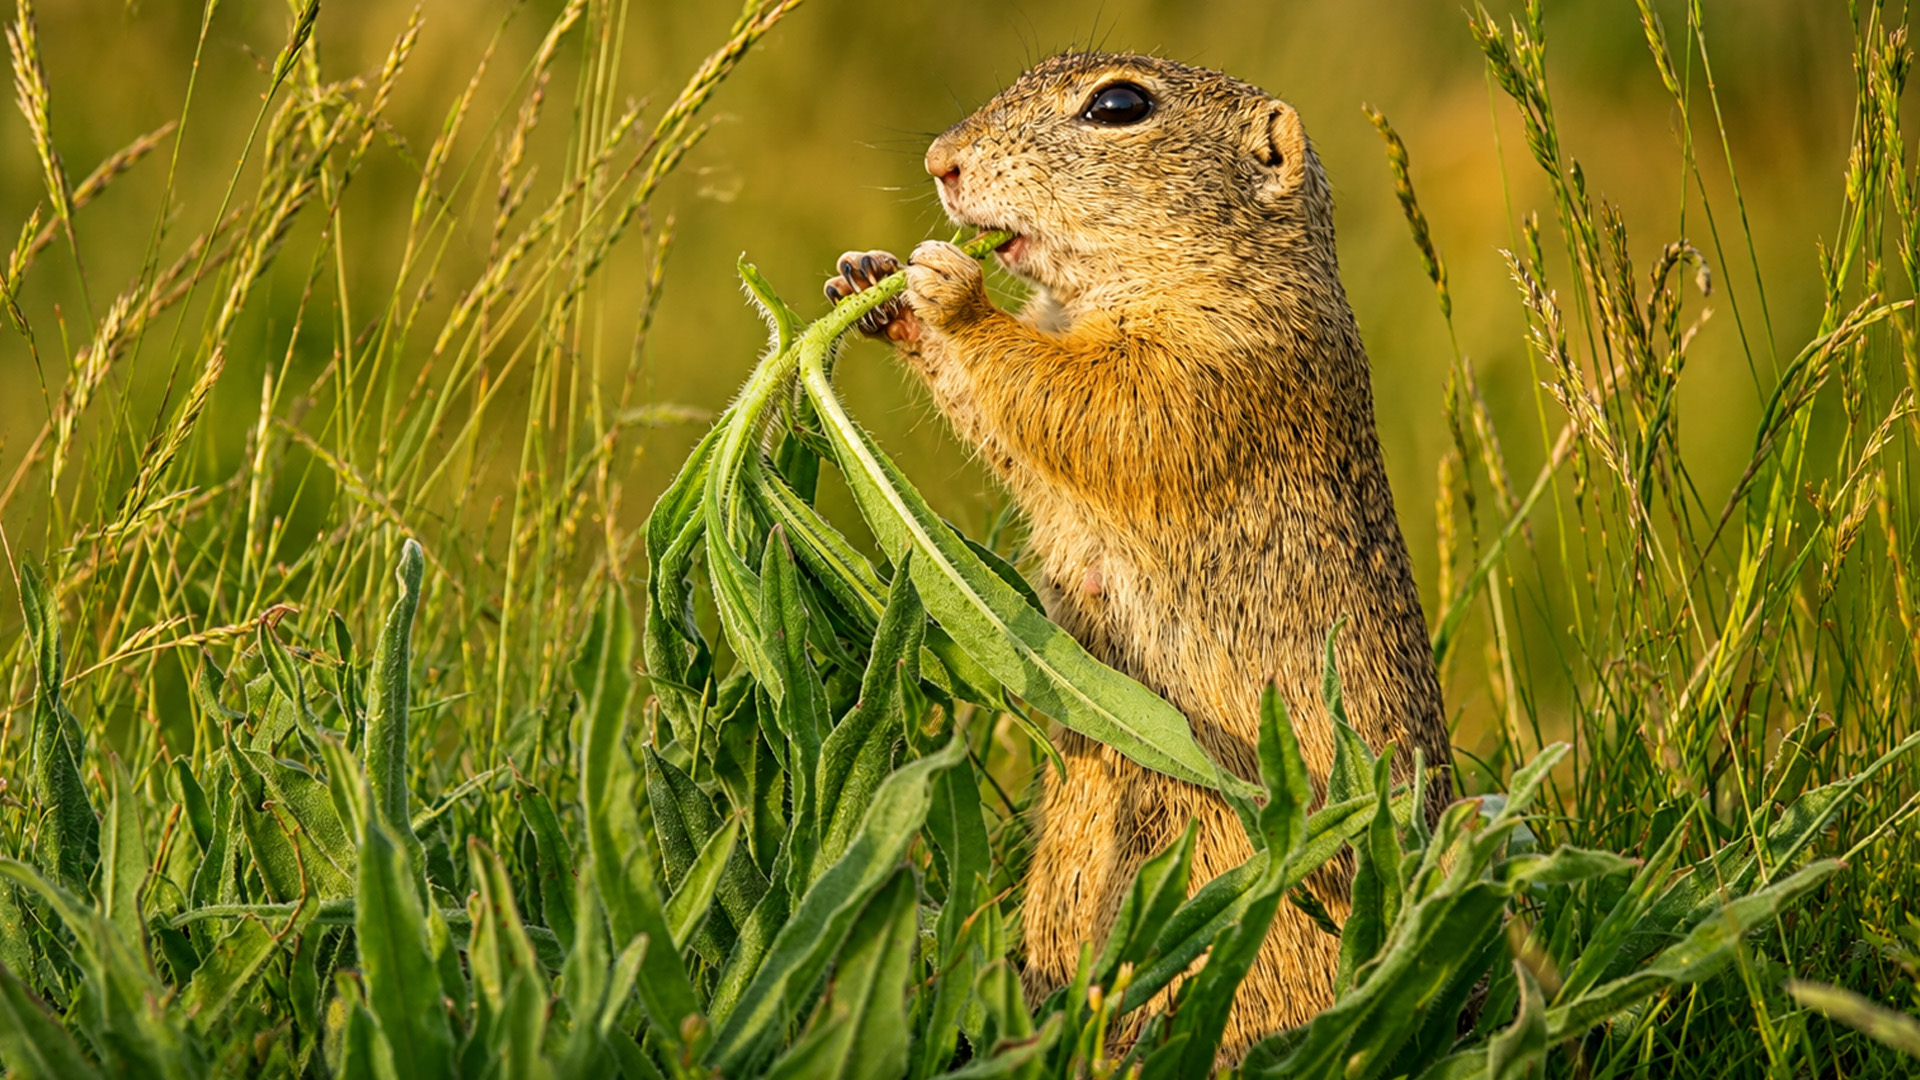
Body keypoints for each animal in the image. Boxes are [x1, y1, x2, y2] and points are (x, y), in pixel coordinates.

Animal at [825, 51, 1453, 1060]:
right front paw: (868, 278)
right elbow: (1020, 434)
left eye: (1118, 105)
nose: (939, 161)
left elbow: (1089, 402)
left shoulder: (1212, 365)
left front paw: (948, 286)